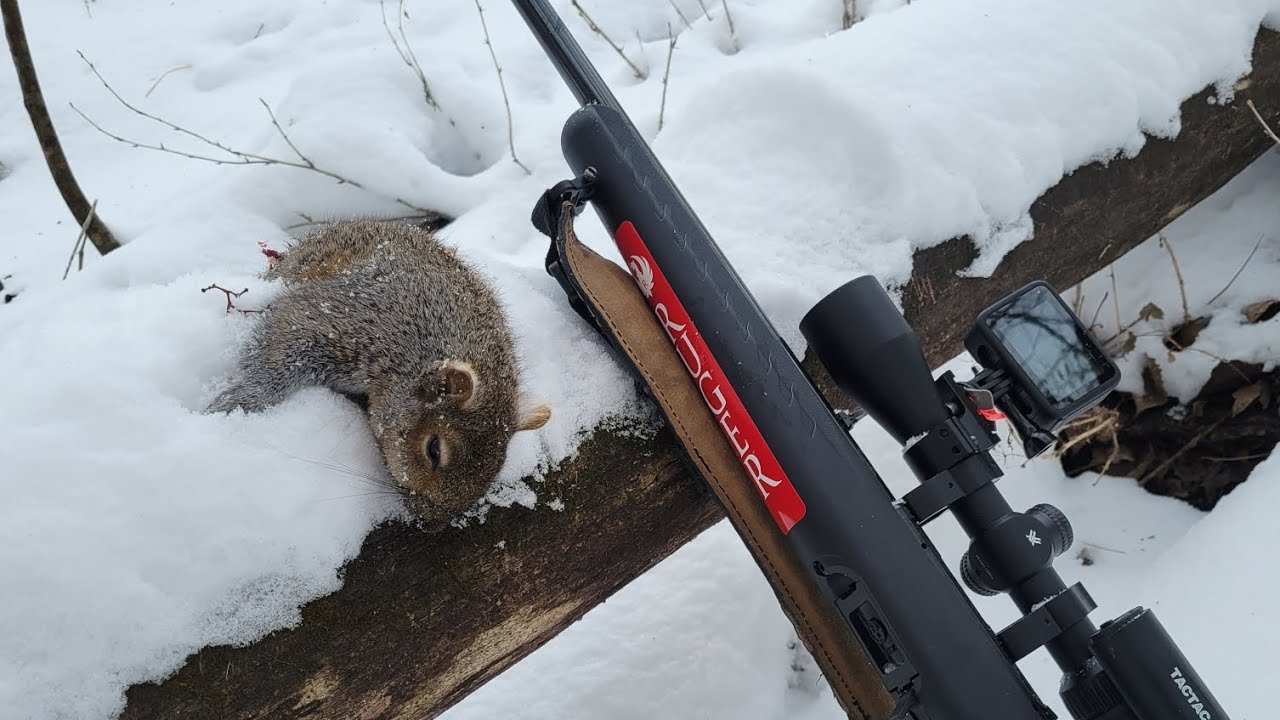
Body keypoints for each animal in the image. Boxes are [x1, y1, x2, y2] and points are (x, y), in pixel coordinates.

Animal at [207, 219, 551, 526]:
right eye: (434, 449)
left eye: (499, 461)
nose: (433, 523)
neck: (416, 352)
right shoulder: (347, 323)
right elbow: (283, 343)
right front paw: (236, 400)